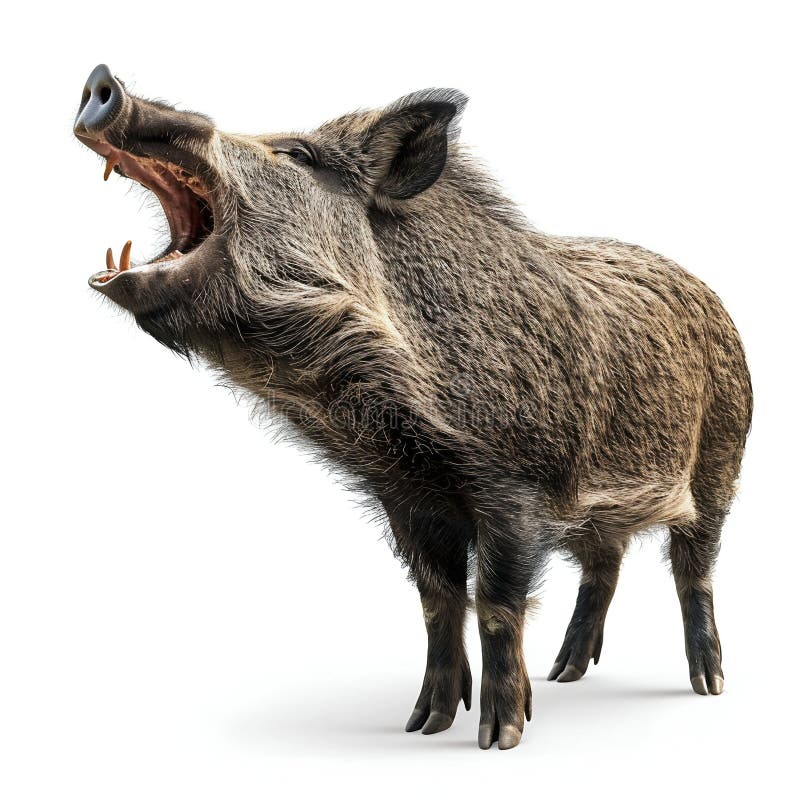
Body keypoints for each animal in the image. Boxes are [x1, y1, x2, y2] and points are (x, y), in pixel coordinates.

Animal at [74, 64, 752, 750]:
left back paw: (708, 685)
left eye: (297, 154)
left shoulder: (516, 488)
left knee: (693, 566)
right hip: (605, 507)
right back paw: (565, 674)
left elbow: (495, 604)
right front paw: (422, 725)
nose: (103, 80)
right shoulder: (406, 496)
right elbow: (436, 603)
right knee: (605, 565)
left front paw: (498, 738)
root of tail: (714, 299)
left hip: (723, 456)